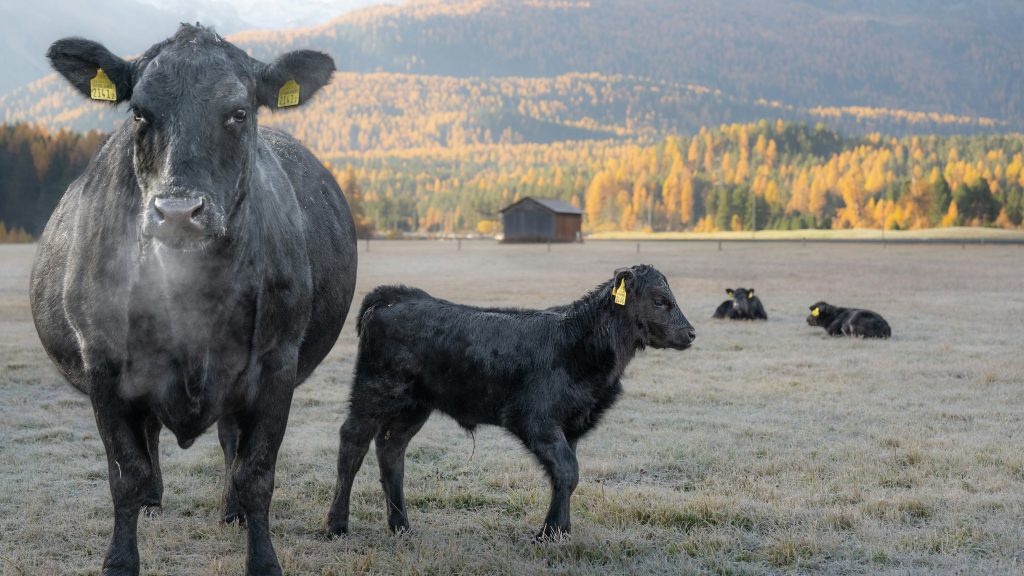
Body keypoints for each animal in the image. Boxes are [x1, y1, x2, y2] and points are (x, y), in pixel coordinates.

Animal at [30, 25, 357, 576]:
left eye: (239, 112)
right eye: (139, 113)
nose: (179, 212)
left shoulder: (277, 363)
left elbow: (256, 472)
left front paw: (262, 559)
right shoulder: (104, 364)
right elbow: (126, 472)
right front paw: (121, 560)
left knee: (228, 442)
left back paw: (231, 512)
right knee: (151, 441)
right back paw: (153, 503)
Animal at [326, 265, 696, 542]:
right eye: (660, 300)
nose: (691, 333)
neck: (578, 343)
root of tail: (396, 296)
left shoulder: (570, 426)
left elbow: (567, 475)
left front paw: (562, 530)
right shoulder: (535, 420)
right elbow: (567, 470)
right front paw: (548, 533)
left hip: (413, 406)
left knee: (391, 451)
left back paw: (401, 525)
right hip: (373, 391)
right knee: (352, 444)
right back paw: (337, 526)